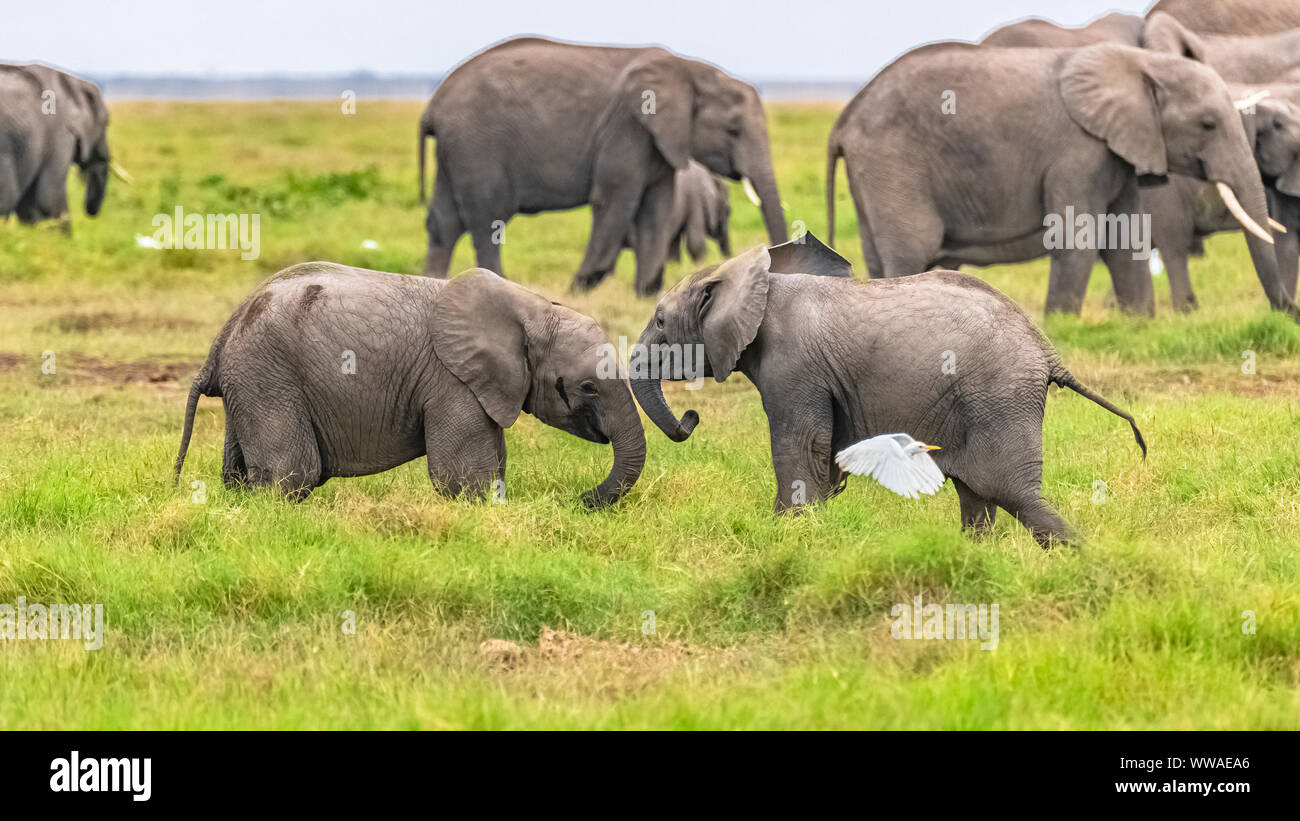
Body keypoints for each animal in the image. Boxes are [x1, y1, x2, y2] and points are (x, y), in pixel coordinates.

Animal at [174, 263, 646, 508]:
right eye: (588, 387)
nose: (579, 499)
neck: (532, 310)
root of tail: (222, 337)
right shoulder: (451, 381)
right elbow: (462, 477)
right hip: (268, 376)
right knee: (291, 473)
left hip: (250, 380)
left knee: (239, 471)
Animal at [417, 36, 786, 296]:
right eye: (733, 129)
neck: (690, 70)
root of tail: (434, 104)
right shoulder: (627, 129)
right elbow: (614, 201)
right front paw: (580, 288)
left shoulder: (659, 143)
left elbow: (656, 210)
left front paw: (647, 293)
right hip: (478, 145)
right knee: (487, 218)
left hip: (457, 151)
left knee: (445, 222)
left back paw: (432, 283)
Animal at [628, 237, 1146, 547]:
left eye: (660, 321)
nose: (691, 418)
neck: (757, 280)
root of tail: (1046, 351)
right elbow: (821, 450)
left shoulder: (793, 367)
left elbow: (799, 444)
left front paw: (786, 534)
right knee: (978, 494)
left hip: (999, 398)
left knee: (1010, 491)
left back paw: (1080, 556)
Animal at [825, 42, 1295, 319]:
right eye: (1208, 124)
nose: (1289, 312)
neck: (1140, 62)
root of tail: (846, 117)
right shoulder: (1079, 152)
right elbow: (1078, 239)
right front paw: (1061, 323)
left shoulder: (1120, 149)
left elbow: (1124, 240)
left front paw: (1138, 323)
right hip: (893, 162)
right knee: (911, 251)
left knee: (879, 257)